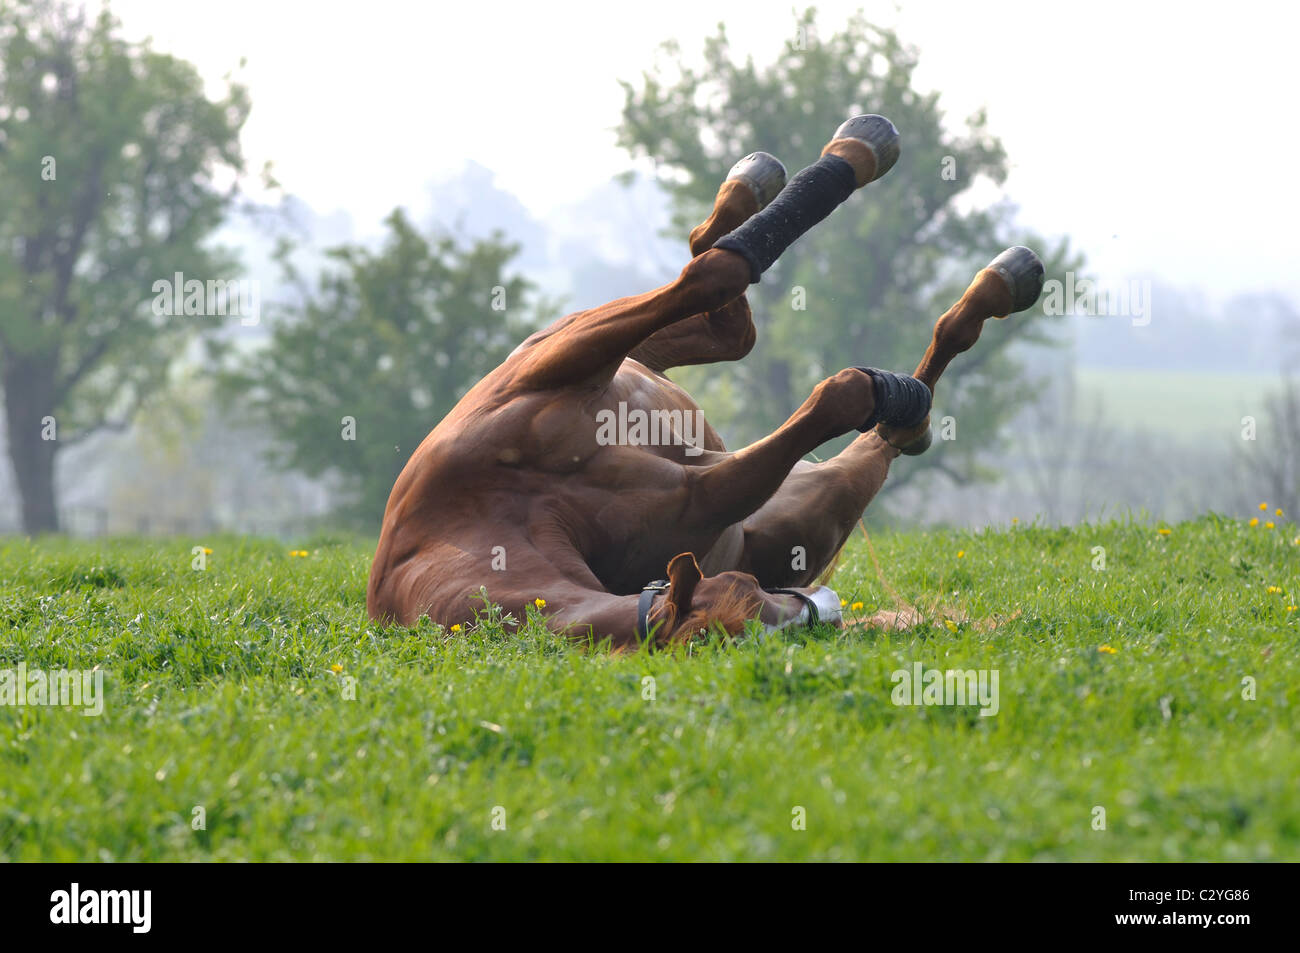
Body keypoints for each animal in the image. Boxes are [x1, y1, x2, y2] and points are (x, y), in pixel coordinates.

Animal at [366, 114, 1045, 648]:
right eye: (755, 615)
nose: (822, 610)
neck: (487, 514)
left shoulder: (567, 370)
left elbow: (716, 275)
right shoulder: (700, 496)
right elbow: (834, 397)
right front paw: (885, 392)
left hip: (569, 346)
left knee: (714, 288)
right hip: (812, 505)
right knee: (856, 422)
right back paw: (927, 385)